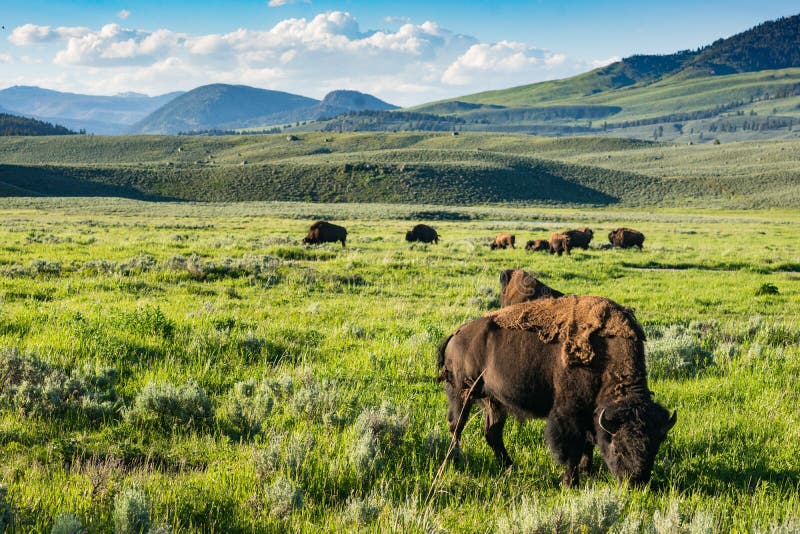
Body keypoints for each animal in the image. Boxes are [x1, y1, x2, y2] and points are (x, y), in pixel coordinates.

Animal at [437, 289, 676, 487]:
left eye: (656, 446)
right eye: (618, 447)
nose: (636, 482)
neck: (605, 356)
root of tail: (456, 334)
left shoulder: (590, 414)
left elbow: (588, 444)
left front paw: (587, 472)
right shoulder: (569, 414)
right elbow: (573, 448)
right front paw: (571, 483)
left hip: (494, 401)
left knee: (492, 433)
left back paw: (509, 466)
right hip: (462, 394)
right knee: (456, 426)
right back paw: (455, 461)